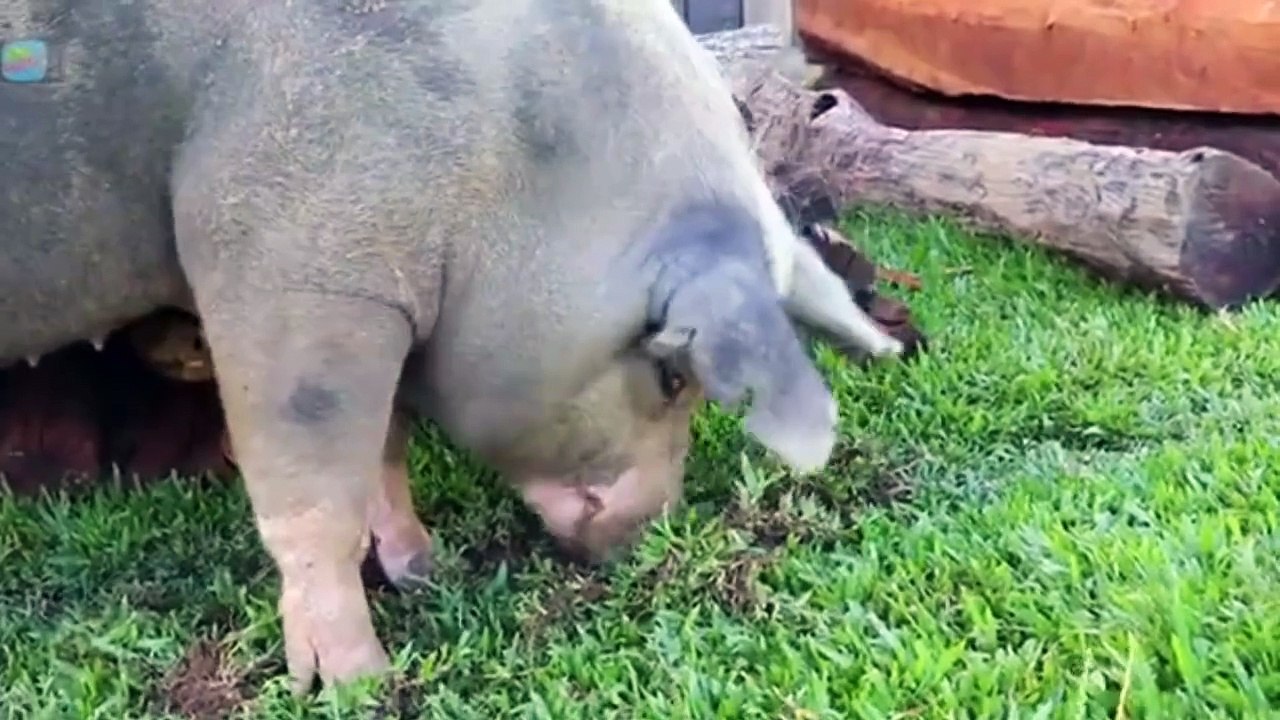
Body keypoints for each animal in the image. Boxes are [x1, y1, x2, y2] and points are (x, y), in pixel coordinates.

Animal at [0, 0, 902, 693]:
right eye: (673, 379)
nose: (648, 534)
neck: (508, 157)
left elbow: (386, 446)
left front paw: (424, 571)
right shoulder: (285, 273)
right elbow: (314, 497)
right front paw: (356, 686)